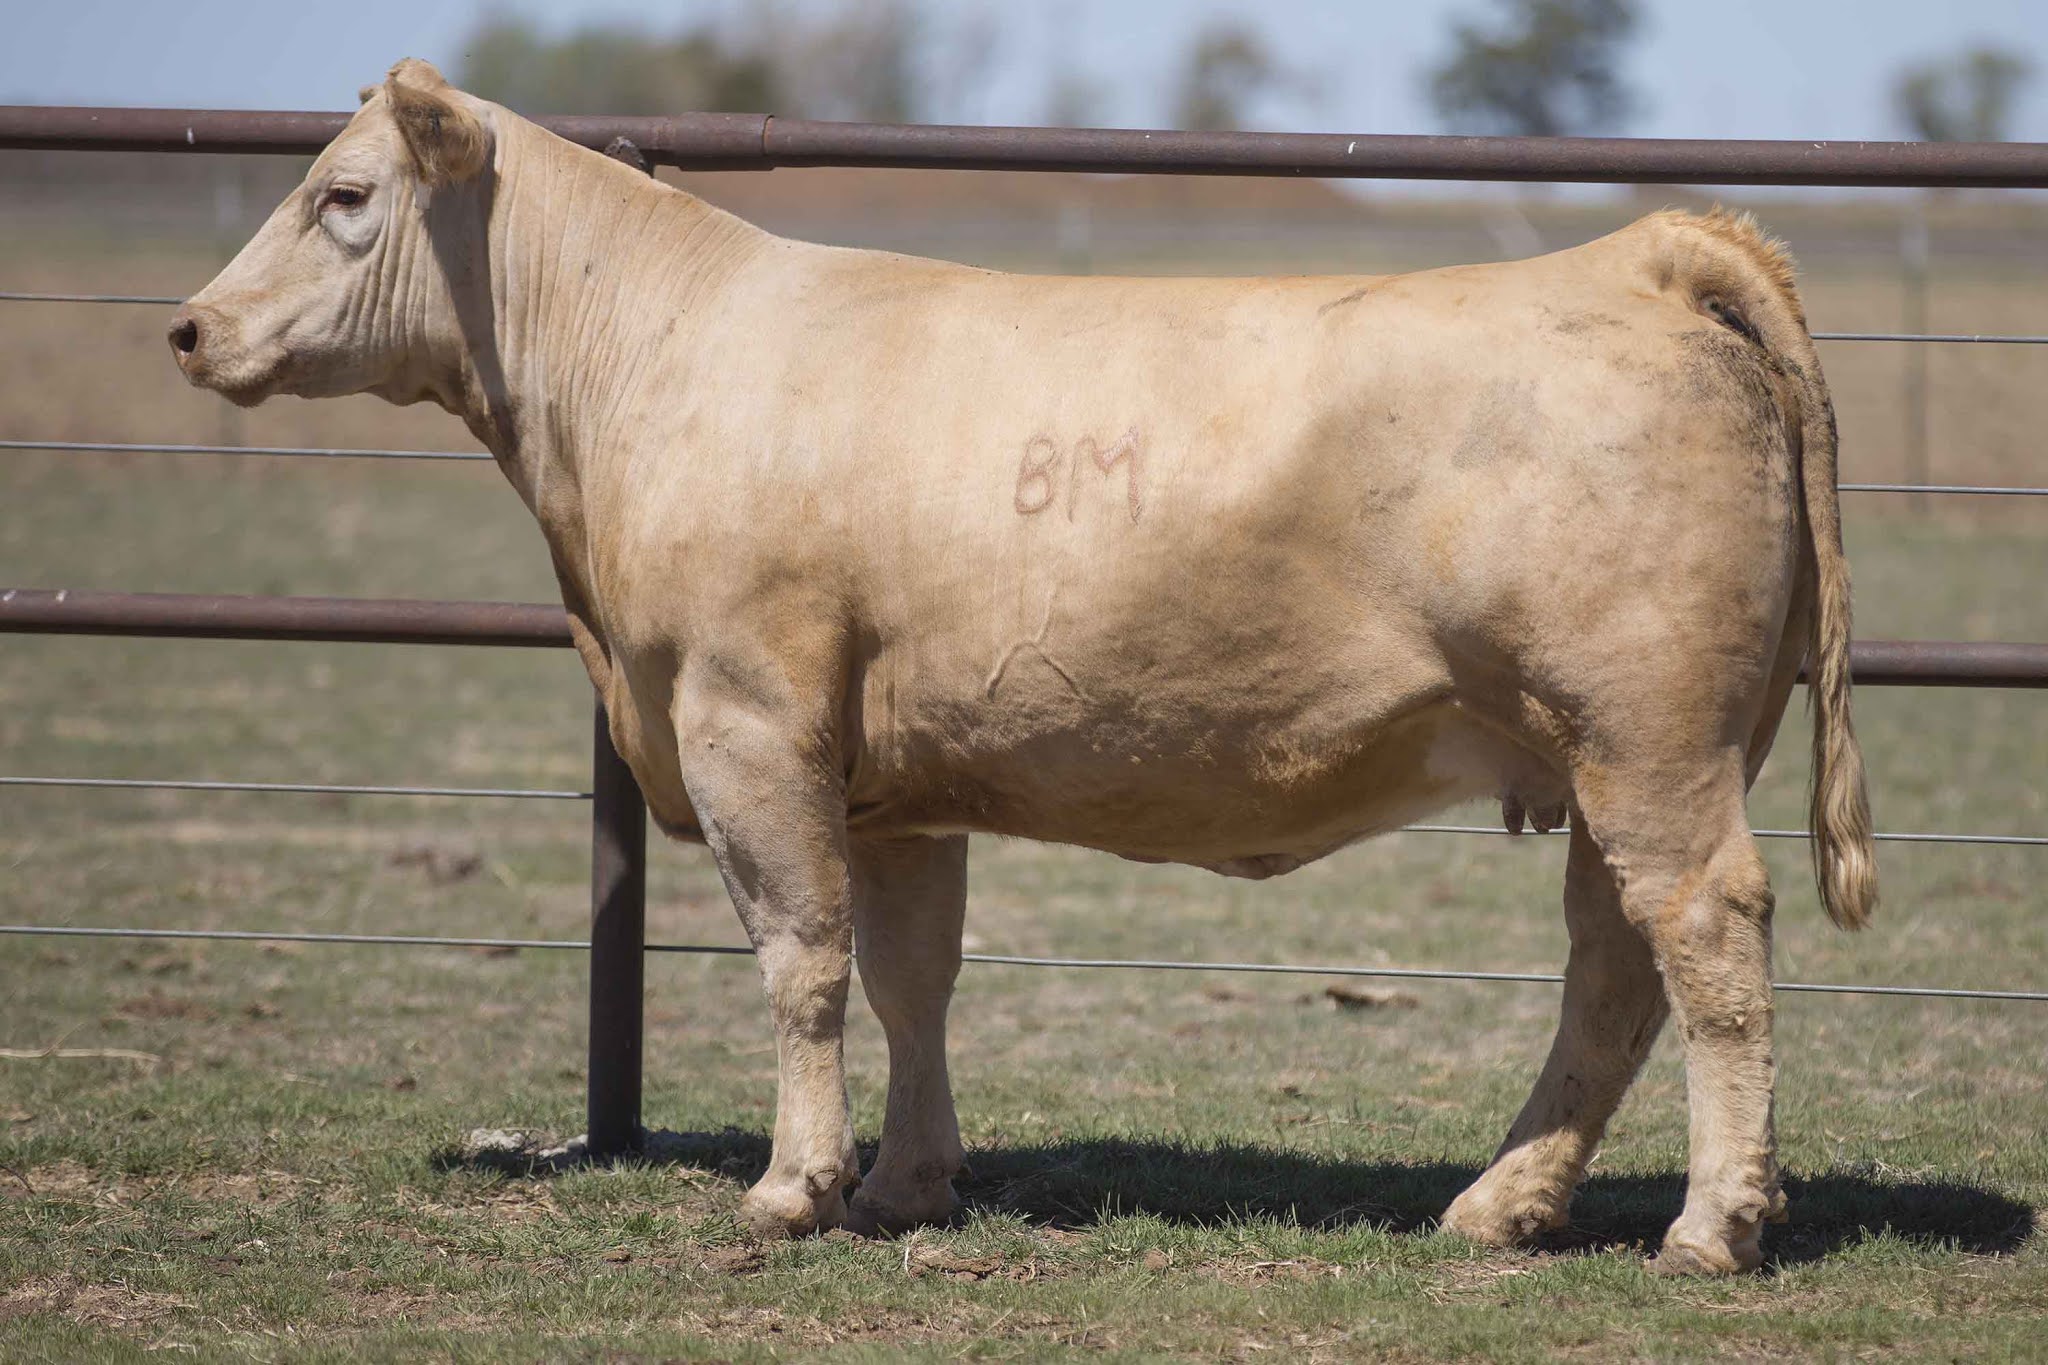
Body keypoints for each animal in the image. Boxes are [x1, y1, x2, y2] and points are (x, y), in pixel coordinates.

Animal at [170, 59, 1876, 1275]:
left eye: (344, 192)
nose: (189, 328)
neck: (646, 361)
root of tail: (1646, 252)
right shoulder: (893, 776)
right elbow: (908, 971)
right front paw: (904, 1184)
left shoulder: (746, 718)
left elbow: (801, 961)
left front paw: (791, 1188)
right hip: (1626, 748)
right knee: (1612, 966)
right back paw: (1503, 1204)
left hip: (1646, 734)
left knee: (1705, 937)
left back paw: (1711, 1225)